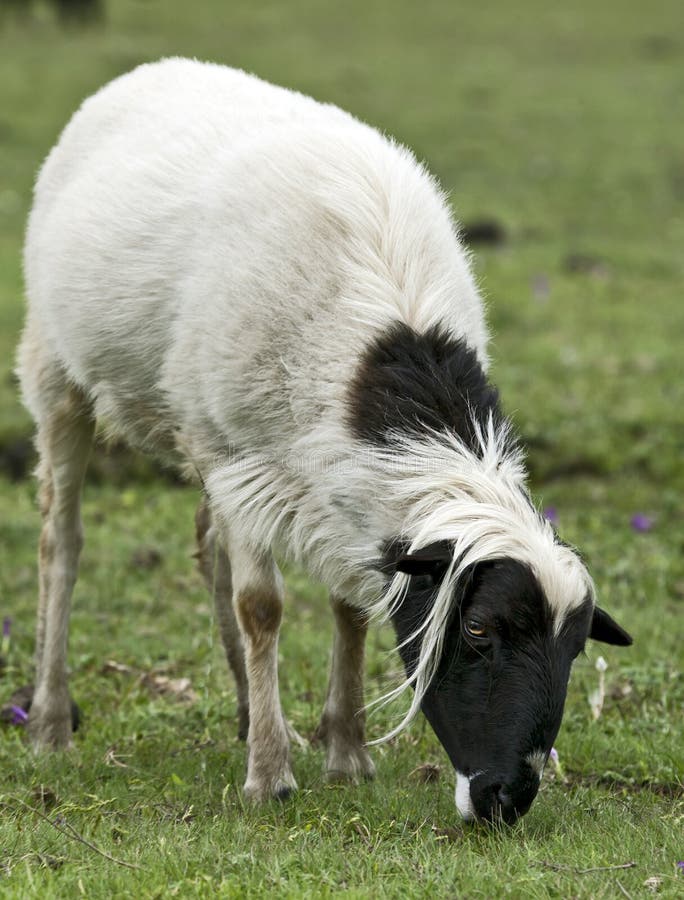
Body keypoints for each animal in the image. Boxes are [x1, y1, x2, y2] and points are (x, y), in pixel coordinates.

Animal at [18, 58, 632, 823]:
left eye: (574, 649)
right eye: (479, 630)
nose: (507, 799)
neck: (388, 356)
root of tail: (155, 69)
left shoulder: (332, 489)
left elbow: (351, 607)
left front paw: (346, 754)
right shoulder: (237, 456)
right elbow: (263, 607)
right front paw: (269, 777)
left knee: (209, 546)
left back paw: (250, 714)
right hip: (59, 373)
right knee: (61, 545)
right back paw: (51, 722)